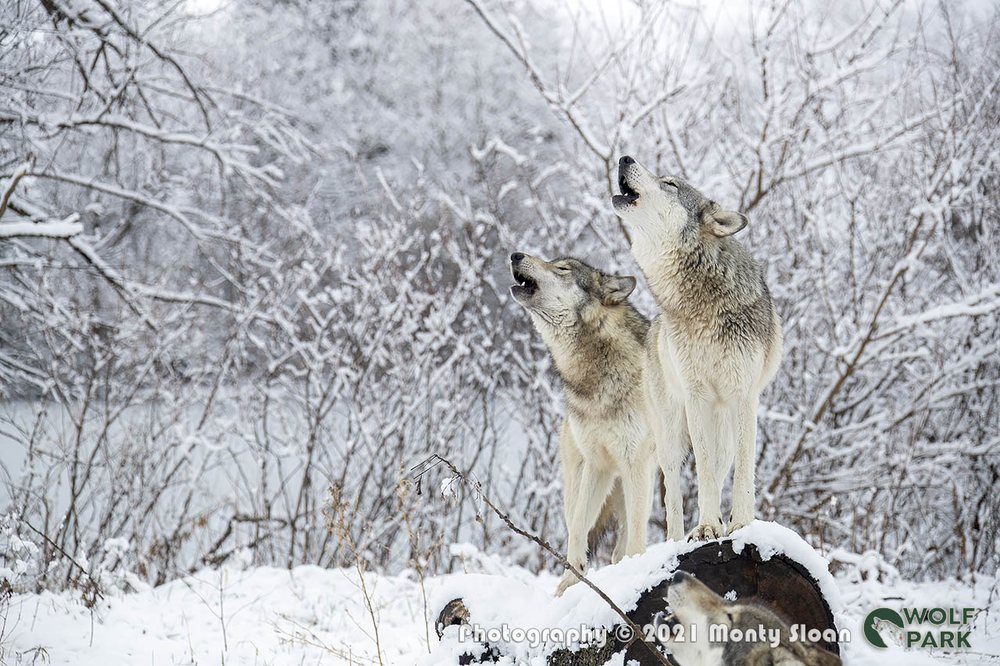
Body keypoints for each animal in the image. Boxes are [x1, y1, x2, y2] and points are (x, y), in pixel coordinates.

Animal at [510, 252, 657, 595]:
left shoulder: (636, 462)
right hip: (584, 480)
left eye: (562, 268)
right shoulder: (597, 463)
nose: (515, 255)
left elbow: (638, 532)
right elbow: (578, 527)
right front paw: (570, 582)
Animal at [612, 156, 782, 540]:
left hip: (725, 426)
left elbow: (743, 471)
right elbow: (701, 470)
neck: (700, 302)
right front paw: (706, 527)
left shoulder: (744, 396)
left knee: (721, 467)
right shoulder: (696, 396)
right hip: (671, 430)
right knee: (673, 489)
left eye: (670, 184)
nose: (625, 158)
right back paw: (677, 538)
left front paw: (741, 524)